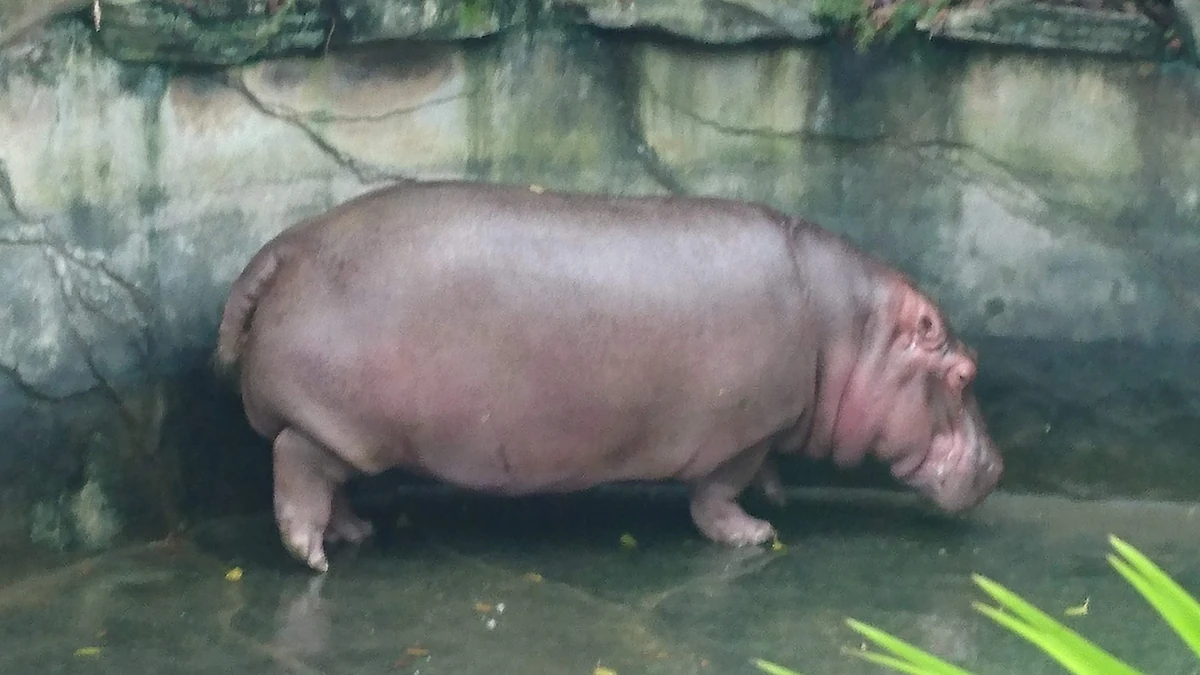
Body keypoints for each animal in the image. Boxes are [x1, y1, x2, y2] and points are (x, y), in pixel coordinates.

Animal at [215, 181, 1002, 573]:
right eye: (965, 373)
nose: (997, 467)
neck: (849, 328)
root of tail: (284, 247)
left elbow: (757, 472)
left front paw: (776, 495)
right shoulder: (742, 429)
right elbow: (718, 492)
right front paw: (753, 533)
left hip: (350, 432)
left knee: (332, 482)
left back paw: (356, 535)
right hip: (339, 425)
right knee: (296, 465)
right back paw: (314, 558)